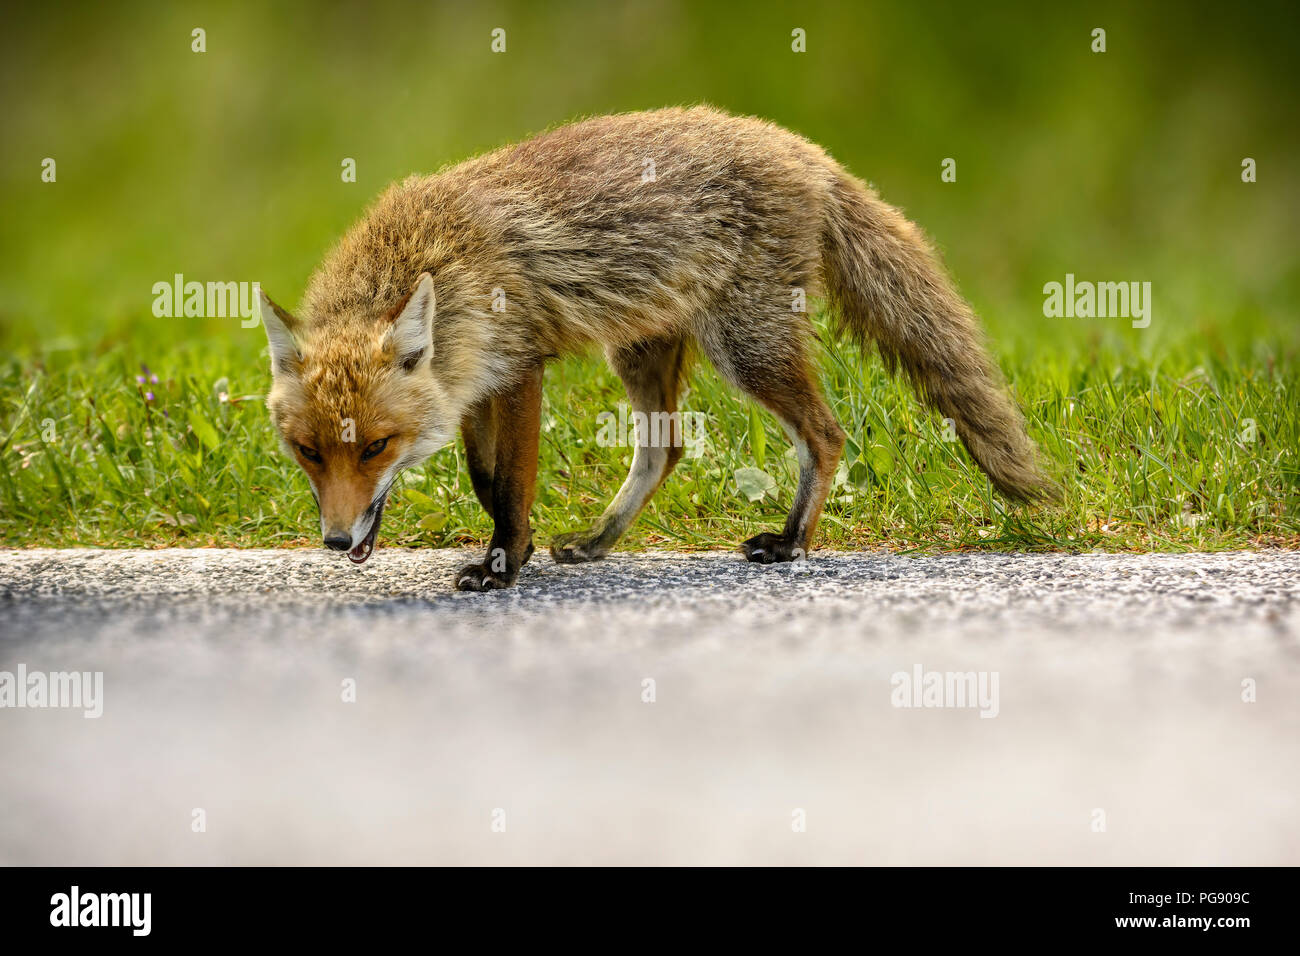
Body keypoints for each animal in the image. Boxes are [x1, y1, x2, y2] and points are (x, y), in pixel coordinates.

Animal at [257, 106, 1056, 591]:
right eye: (309, 452)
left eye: (375, 447)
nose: (335, 542)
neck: (434, 259)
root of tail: (801, 146)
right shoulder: (475, 383)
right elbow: (486, 480)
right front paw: (513, 550)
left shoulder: (517, 370)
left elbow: (509, 487)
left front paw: (503, 564)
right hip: (640, 352)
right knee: (664, 449)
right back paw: (598, 542)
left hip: (747, 347)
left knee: (826, 436)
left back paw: (792, 542)